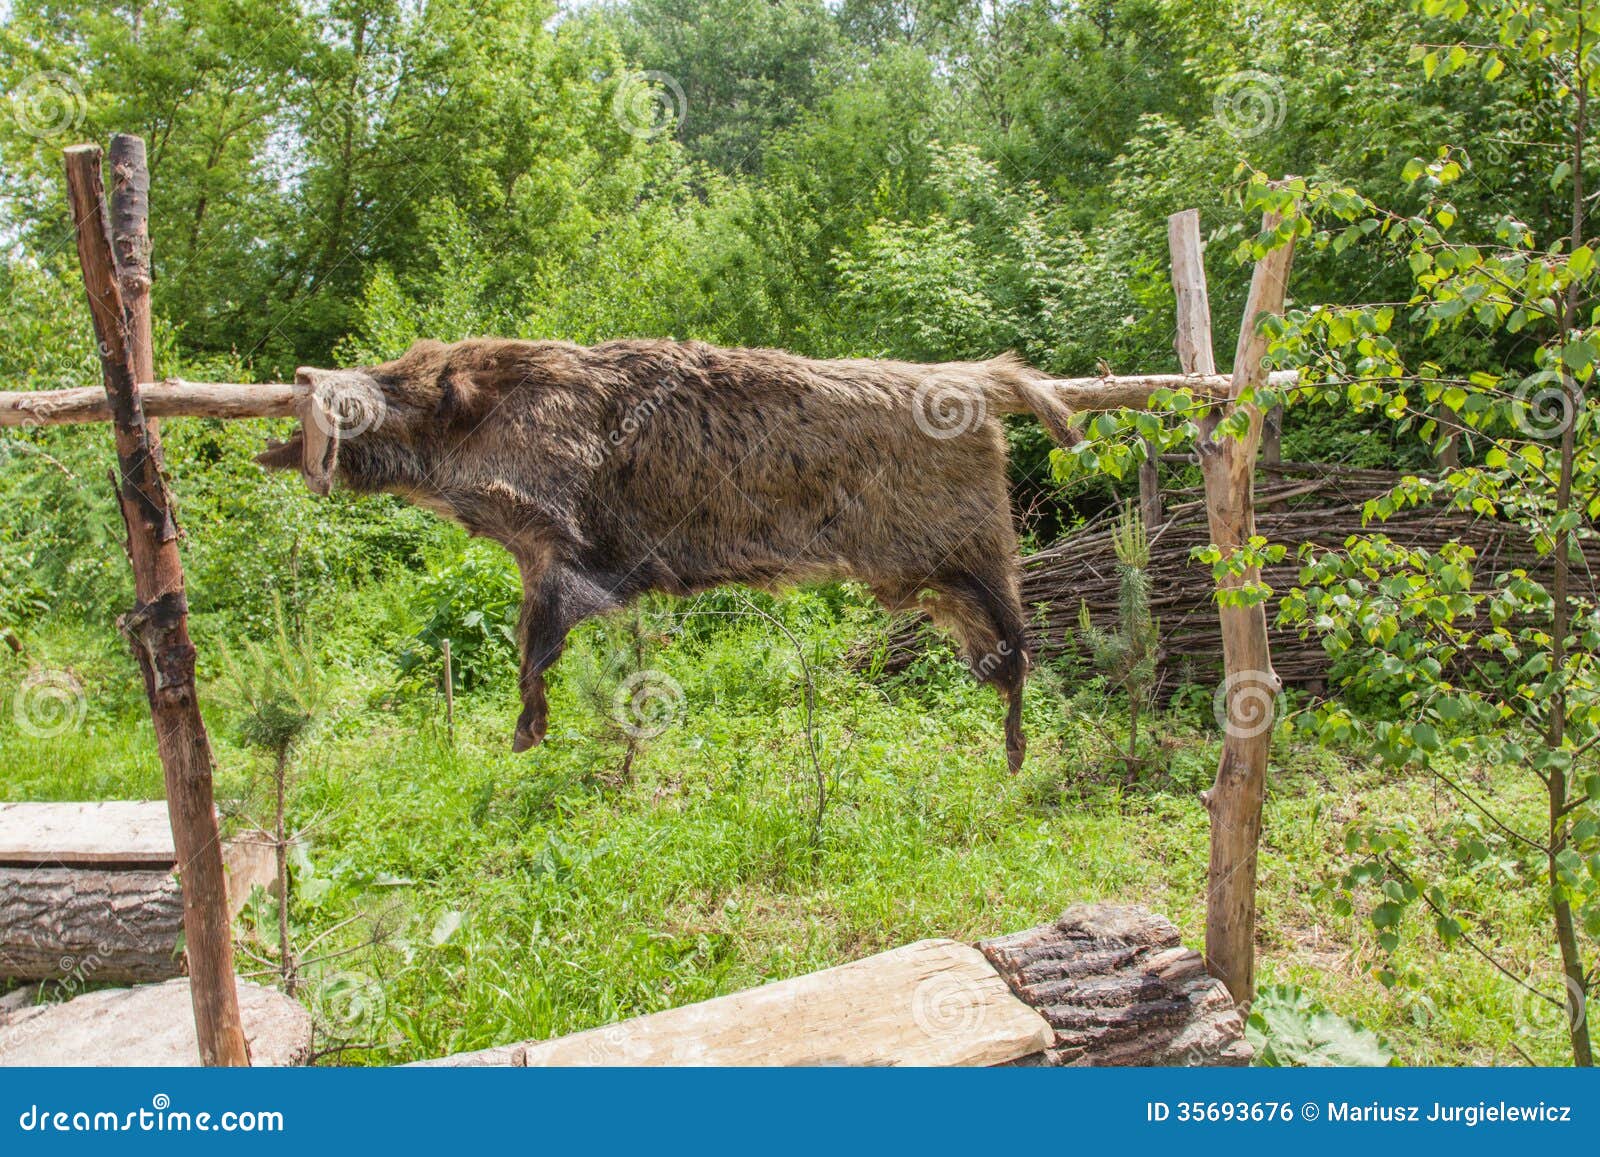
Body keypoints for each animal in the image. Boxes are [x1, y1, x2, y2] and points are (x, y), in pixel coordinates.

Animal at [257, 338, 1079, 771]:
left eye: (414, 382)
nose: (305, 379)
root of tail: (984, 379)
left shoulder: (559, 547)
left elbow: (537, 641)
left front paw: (525, 738)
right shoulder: (549, 559)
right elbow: (536, 639)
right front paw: (529, 738)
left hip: (979, 547)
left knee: (1018, 644)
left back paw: (1015, 753)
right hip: (945, 577)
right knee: (1002, 650)